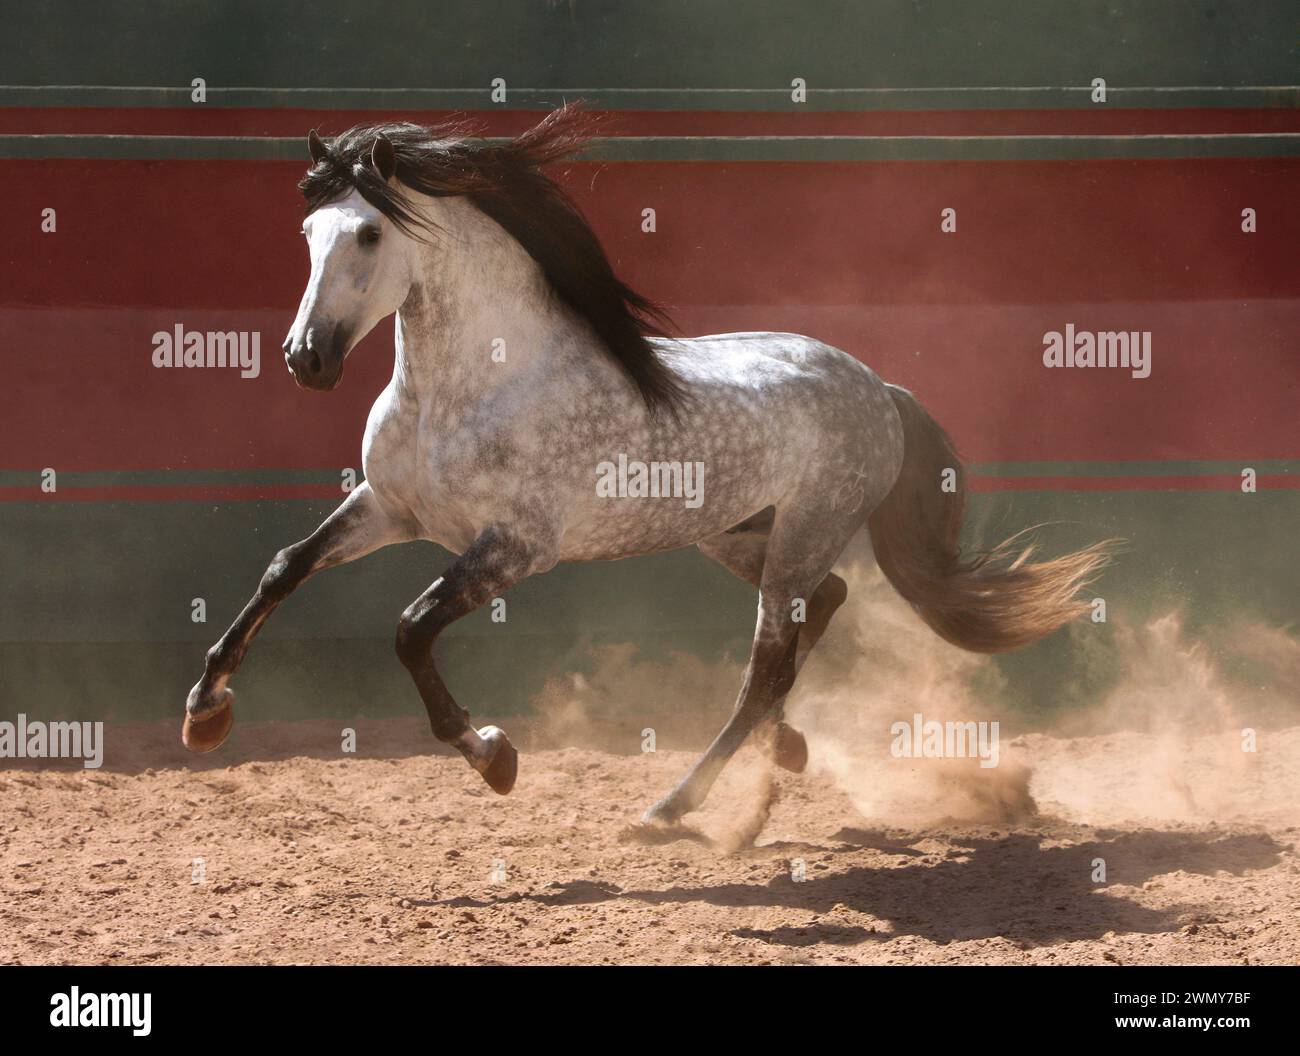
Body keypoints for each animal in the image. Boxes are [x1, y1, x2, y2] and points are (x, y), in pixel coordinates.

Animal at [182, 106, 1113, 826]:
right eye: (308, 231)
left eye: (370, 232)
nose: (306, 359)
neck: (475, 386)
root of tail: (878, 388)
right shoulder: (388, 507)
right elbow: (283, 568)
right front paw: (204, 713)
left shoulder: (515, 549)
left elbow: (411, 630)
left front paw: (494, 756)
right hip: (735, 533)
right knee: (826, 607)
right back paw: (785, 748)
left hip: (803, 533)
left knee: (766, 664)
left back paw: (672, 807)